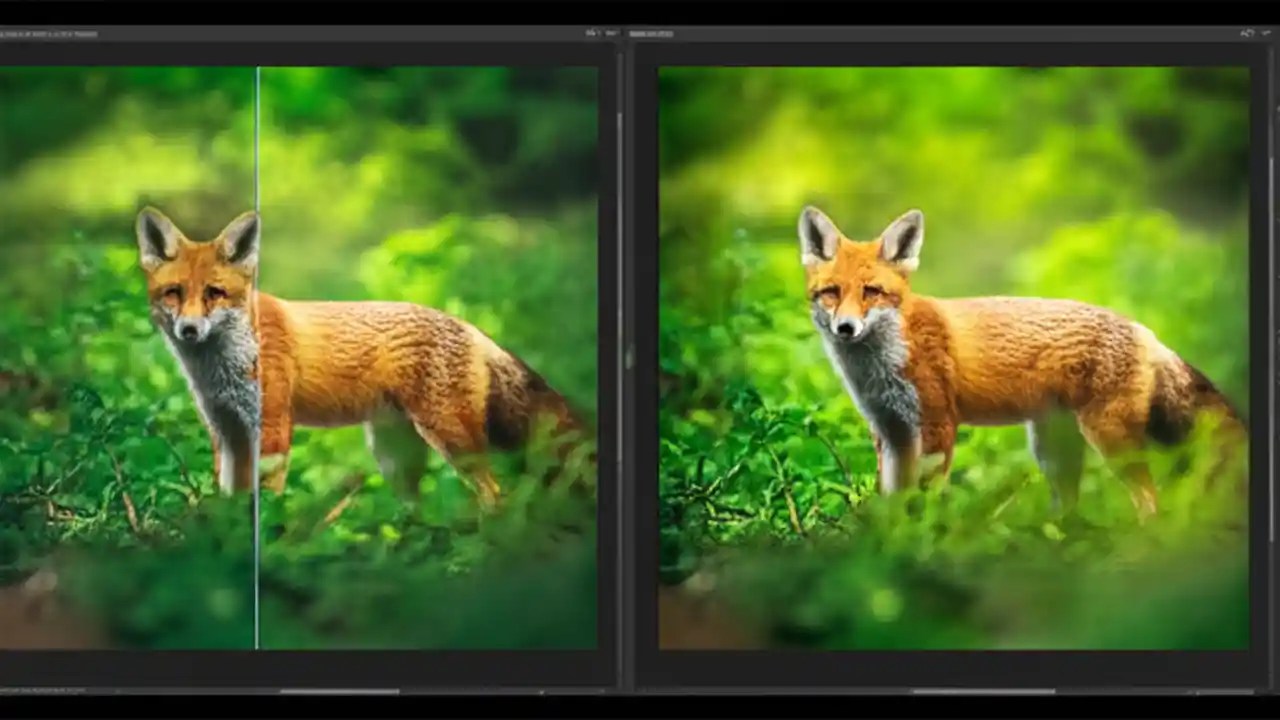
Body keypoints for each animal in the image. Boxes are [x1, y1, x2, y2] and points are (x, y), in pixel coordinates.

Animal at [136, 207, 590, 508]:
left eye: (214, 293)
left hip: (452, 441)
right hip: (395, 459)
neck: (224, 364)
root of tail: (472, 327)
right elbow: (230, 500)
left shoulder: (273, 429)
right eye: (174, 292)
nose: (189, 330)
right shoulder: (227, 432)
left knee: (496, 497)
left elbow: (266, 506)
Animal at [797, 205, 1246, 520]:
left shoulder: (938, 427)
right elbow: (894, 502)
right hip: (1053, 452)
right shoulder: (892, 434)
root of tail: (1142, 328)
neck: (881, 364)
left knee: (1151, 502)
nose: (846, 328)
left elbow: (924, 503)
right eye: (832, 293)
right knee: (1071, 510)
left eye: (872, 291)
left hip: (1111, 441)